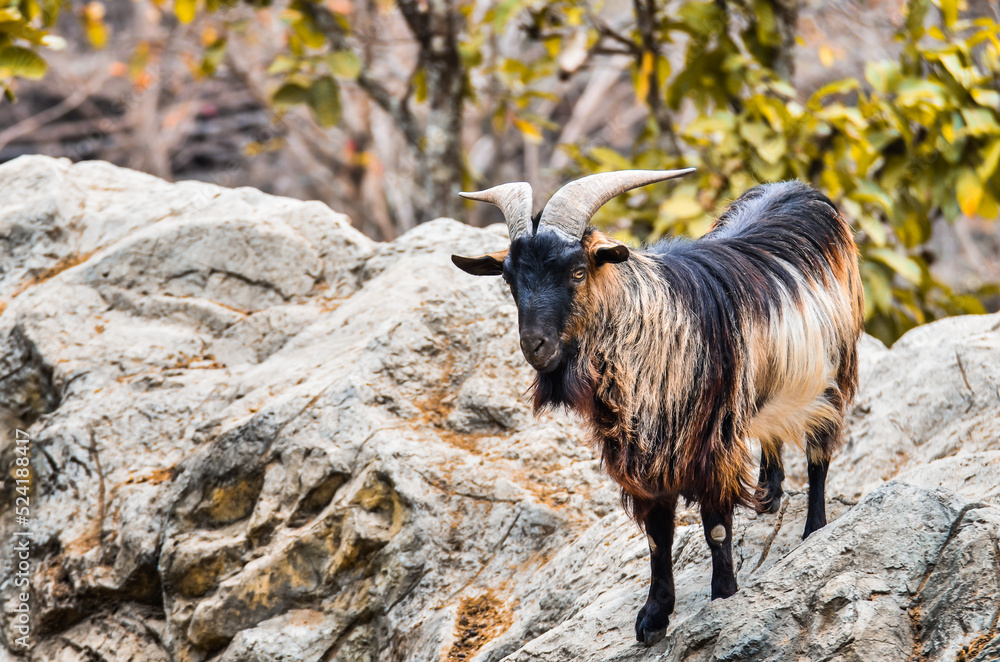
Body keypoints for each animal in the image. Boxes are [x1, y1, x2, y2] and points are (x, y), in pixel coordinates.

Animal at [452, 170, 864, 645]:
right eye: (508, 278)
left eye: (578, 271)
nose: (534, 345)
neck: (654, 328)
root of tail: (799, 188)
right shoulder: (644, 462)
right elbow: (657, 537)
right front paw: (654, 617)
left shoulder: (711, 445)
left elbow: (715, 526)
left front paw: (723, 595)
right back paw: (769, 495)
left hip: (831, 376)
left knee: (819, 453)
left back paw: (815, 528)